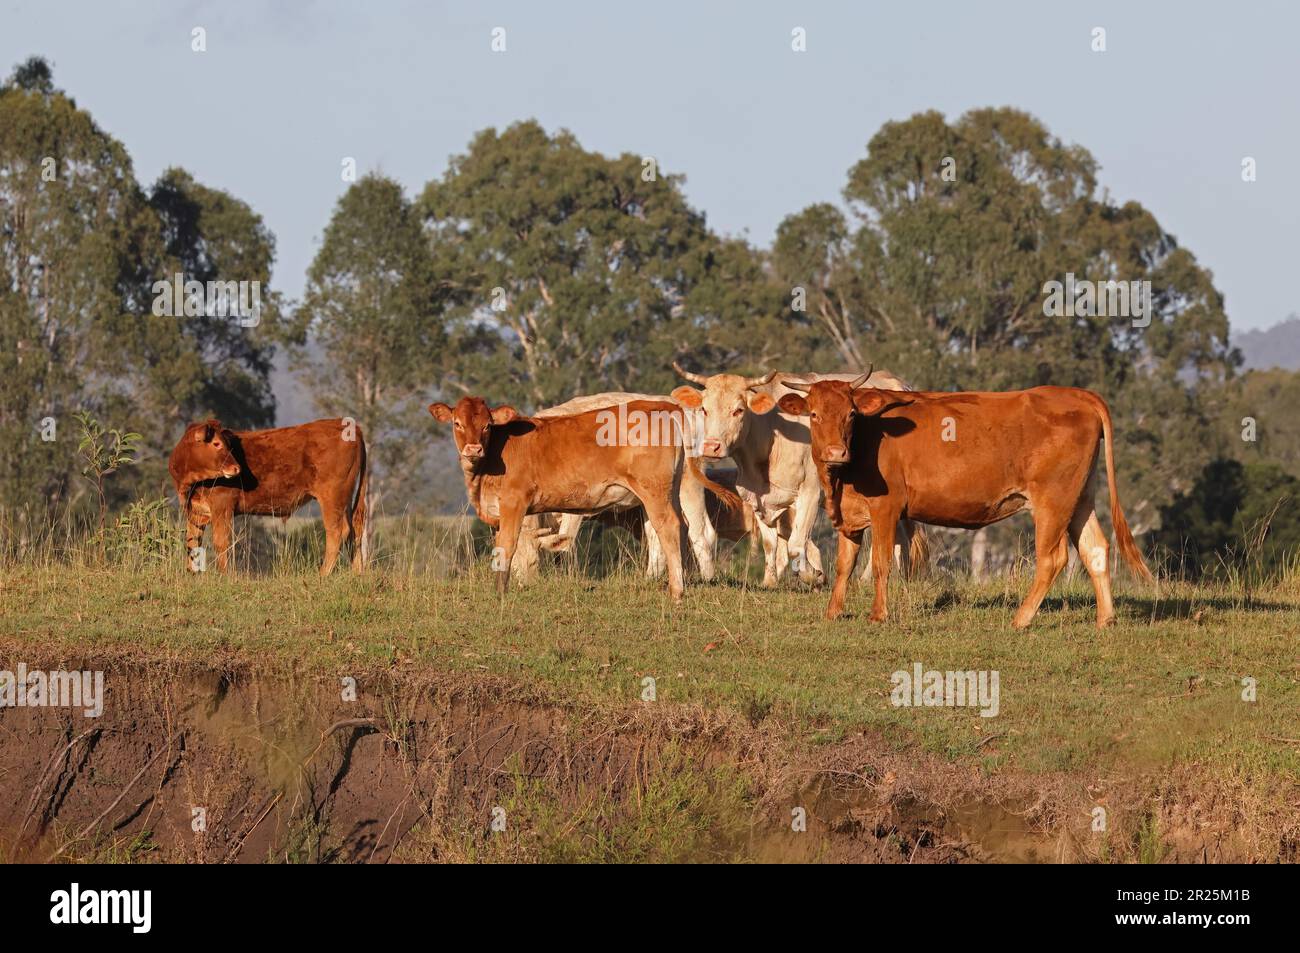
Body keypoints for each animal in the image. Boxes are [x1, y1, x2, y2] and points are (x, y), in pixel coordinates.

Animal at [168, 418, 369, 575]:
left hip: (332, 497)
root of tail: (350, 426)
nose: (237, 468)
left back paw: (323, 574)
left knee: (337, 532)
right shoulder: (196, 512)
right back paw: (357, 574)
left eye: (226, 444)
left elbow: (220, 543)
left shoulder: (222, 507)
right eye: (217, 443)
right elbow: (192, 543)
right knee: (354, 532)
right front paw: (192, 575)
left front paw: (226, 576)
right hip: (345, 500)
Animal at [428, 395, 739, 601]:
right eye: (457, 423)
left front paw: (500, 593)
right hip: (672, 489)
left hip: (656, 491)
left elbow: (507, 546)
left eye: (487, 425)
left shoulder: (515, 504)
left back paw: (677, 591)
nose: (473, 449)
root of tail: (664, 406)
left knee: (671, 529)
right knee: (681, 529)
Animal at [669, 363, 927, 587]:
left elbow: (796, 544)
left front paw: (814, 575)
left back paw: (865, 580)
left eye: (738, 410)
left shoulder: (809, 494)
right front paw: (769, 582)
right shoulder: (757, 499)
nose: (711, 446)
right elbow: (771, 544)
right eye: (704, 409)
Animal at [777, 373, 1153, 627]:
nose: (835, 452)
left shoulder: (886, 507)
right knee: (1095, 549)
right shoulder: (850, 515)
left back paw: (1021, 618)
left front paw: (877, 615)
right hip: (1080, 498)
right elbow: (844, 565)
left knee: (1052, 557)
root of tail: (1078, 394)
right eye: (814, 414)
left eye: (851, 414)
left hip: (1053, 501)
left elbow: (881, 562)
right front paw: (833, 612)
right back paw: (1105, 619)